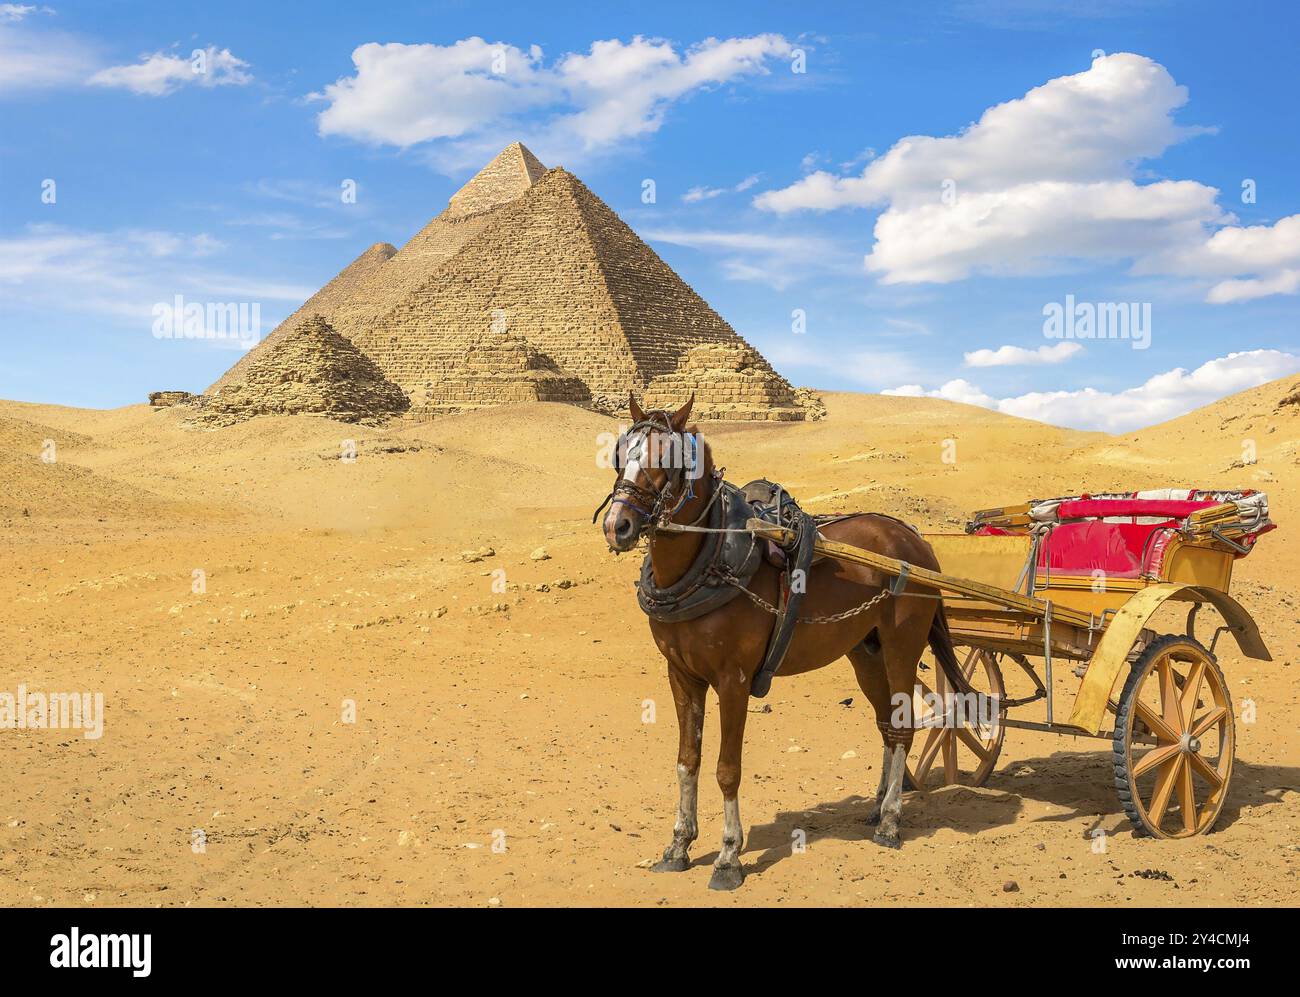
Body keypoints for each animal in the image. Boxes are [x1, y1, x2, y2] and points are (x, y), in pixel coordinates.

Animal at [598, 395, 972, 890]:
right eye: (620, 454)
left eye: (668, 460)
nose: (617, 526)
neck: (709, 560)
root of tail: (917, 541)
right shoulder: (681, 674)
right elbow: (686, 760)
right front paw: (678, 844)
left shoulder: (733, 680)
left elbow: (727, 769)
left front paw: (728, 857)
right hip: (865, 652)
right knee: (886, 725)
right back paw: (877, 807)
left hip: (902, 646)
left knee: (904, 726)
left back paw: (891, 821)